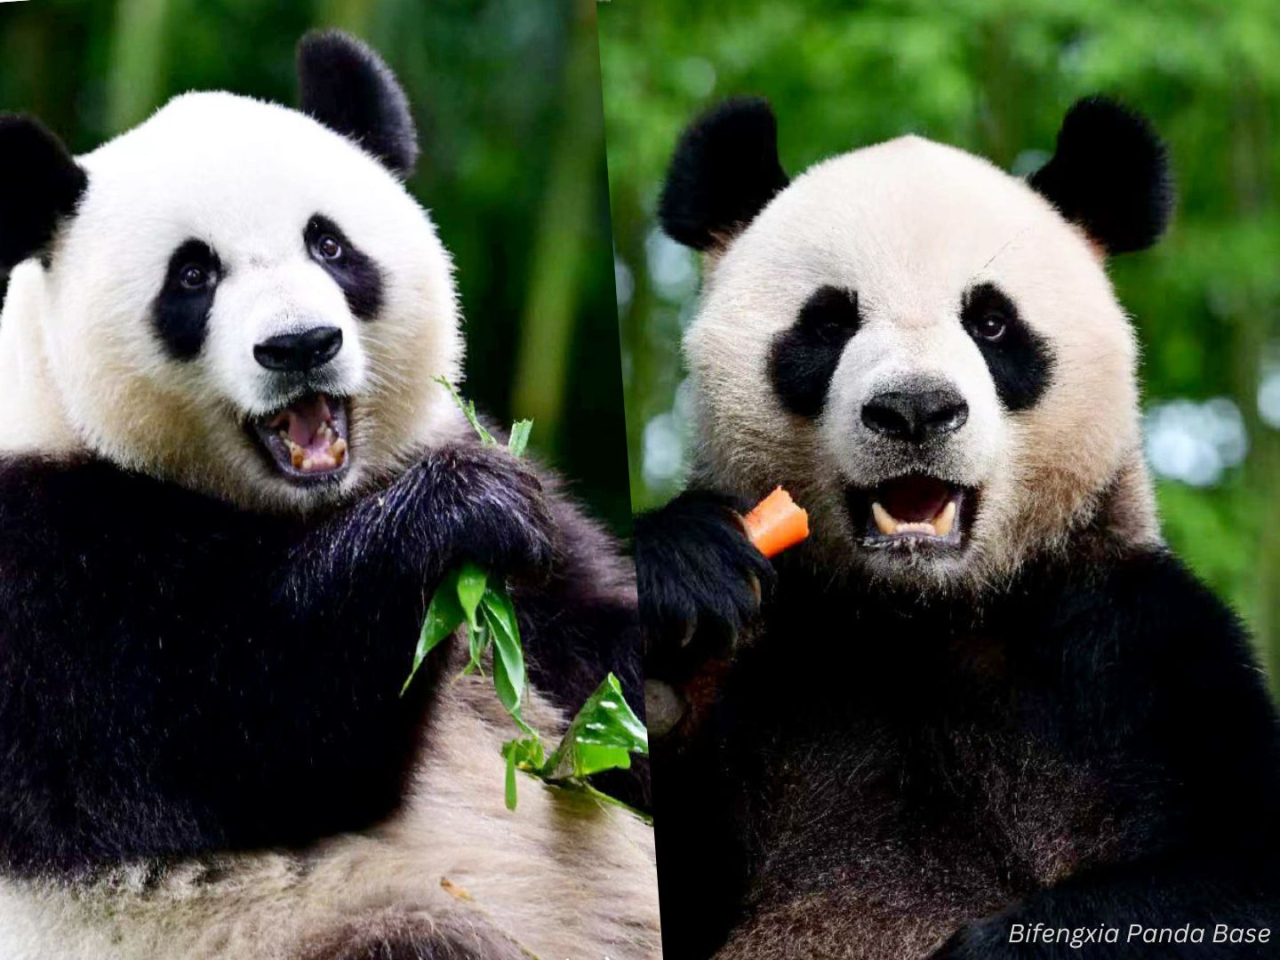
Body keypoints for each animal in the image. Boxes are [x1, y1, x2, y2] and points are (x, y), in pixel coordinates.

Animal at [0, 31, 658, 960]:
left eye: (330, 245)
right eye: (192, 275)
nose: (300, 345)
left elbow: (593, 651)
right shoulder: (42, 560)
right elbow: (240, 742)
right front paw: (462, 514)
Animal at [637, 96, 1280, 958]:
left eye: (993, 323)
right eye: (828, 322)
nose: (915, 410)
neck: (921, 617)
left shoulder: (1137, 656)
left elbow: (1236, 875)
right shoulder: (767, 669)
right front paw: (686, 578)